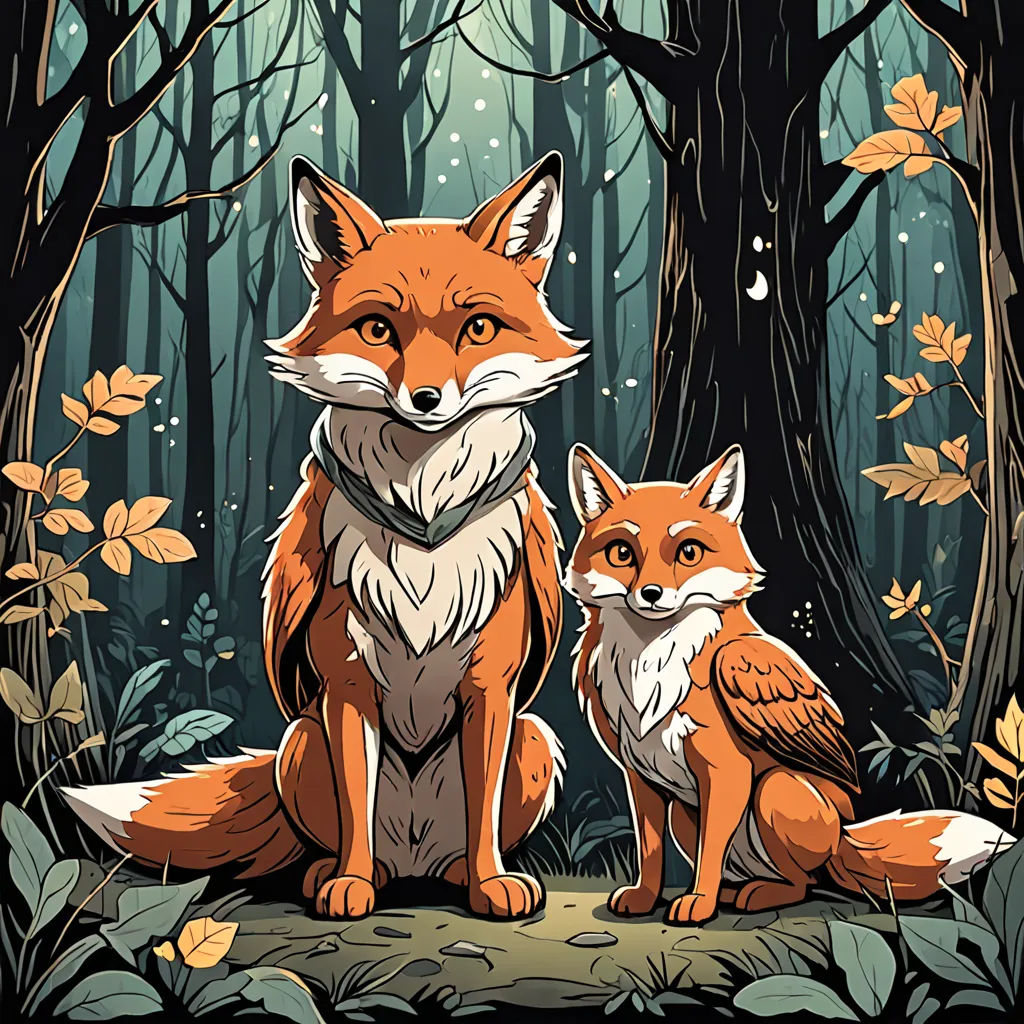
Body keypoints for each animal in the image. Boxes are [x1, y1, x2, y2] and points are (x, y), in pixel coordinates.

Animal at [62, 151, 586, 920]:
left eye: (479, 329)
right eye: (378, 330)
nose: (427, 400)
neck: (423, 522)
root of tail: (416, 859)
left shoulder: (493, 688)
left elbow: (484, 810)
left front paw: (492, 884)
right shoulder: (344, 684)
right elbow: (354, 799)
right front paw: (349, 886)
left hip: (535, 742)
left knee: (460, 841)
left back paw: (461, 874)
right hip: (298, 743)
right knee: (343, 837)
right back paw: (336, 874)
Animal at [563, 442, 1012, 925]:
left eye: (688, 552)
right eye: (621, 554)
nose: (650, 594)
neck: (652, 665)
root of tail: (844, 835)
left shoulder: (726, 769)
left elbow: (710, 853)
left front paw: (698, 902)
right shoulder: (638, 774)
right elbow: (650, 850)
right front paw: (647, 898)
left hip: (774, 789)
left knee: (802, 883)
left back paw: (754, 894)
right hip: (687, 815)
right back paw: (732, 892)